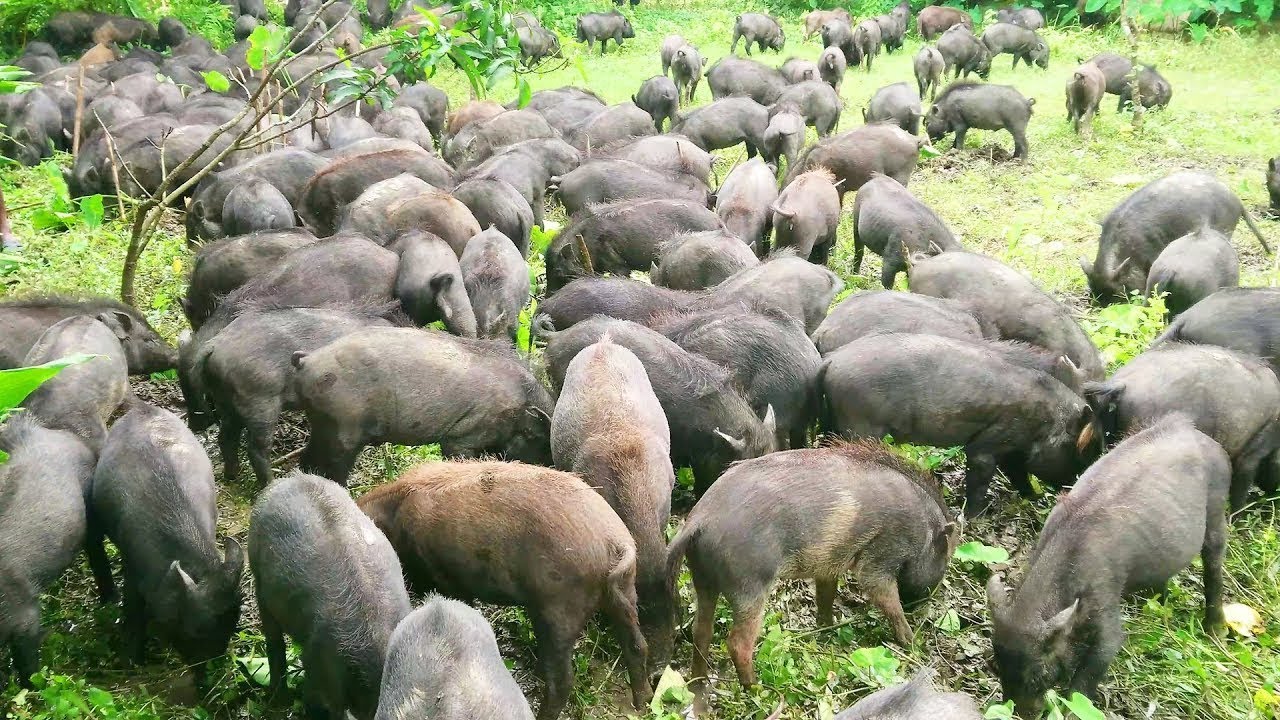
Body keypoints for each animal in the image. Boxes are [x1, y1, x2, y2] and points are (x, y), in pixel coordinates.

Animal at [88, 400, 243, 669]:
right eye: (197, 630)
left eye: (235, 621)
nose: (208, 666)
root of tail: (142, 409)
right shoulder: (132, 561)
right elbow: (133, 605)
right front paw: (132, 660)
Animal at [294, 328, 554, 484]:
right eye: (541, 441)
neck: (522, 406)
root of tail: (306, 361)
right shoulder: (461, 438)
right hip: (342, 434)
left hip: (323, 427)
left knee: (307, 461)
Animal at [667, 442, 959, 687]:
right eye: (946, 557)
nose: (921, 606)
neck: (923, 531)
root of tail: (699, 520)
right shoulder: (881, 557)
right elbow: (885, 598)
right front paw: (912, 644)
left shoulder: (829, 563)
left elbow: (826, 597)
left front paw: (826, 631)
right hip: (750, 588)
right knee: (738, 643)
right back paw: (758, 688)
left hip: (703, 581)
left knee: (700, 631)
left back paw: (699, 684)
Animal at [821, 333, 1093, 516]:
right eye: (1077, 450)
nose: (1073, 486)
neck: (1050, 417)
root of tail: (831, 360)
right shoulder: (988, 445)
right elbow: (981, 478)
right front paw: (976, 517)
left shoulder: (1013, 450)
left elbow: (1018, 474)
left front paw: (1033, 497)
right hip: (861, 427)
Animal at [987, 416, 1228, 719]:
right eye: (996, 667)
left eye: (1037, 676)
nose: (1021, 713)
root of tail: (1195, 430)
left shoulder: (1105, 598)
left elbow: (1092, 672)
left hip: (1217, 509)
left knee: (1214, 562)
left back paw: (1216, 632)